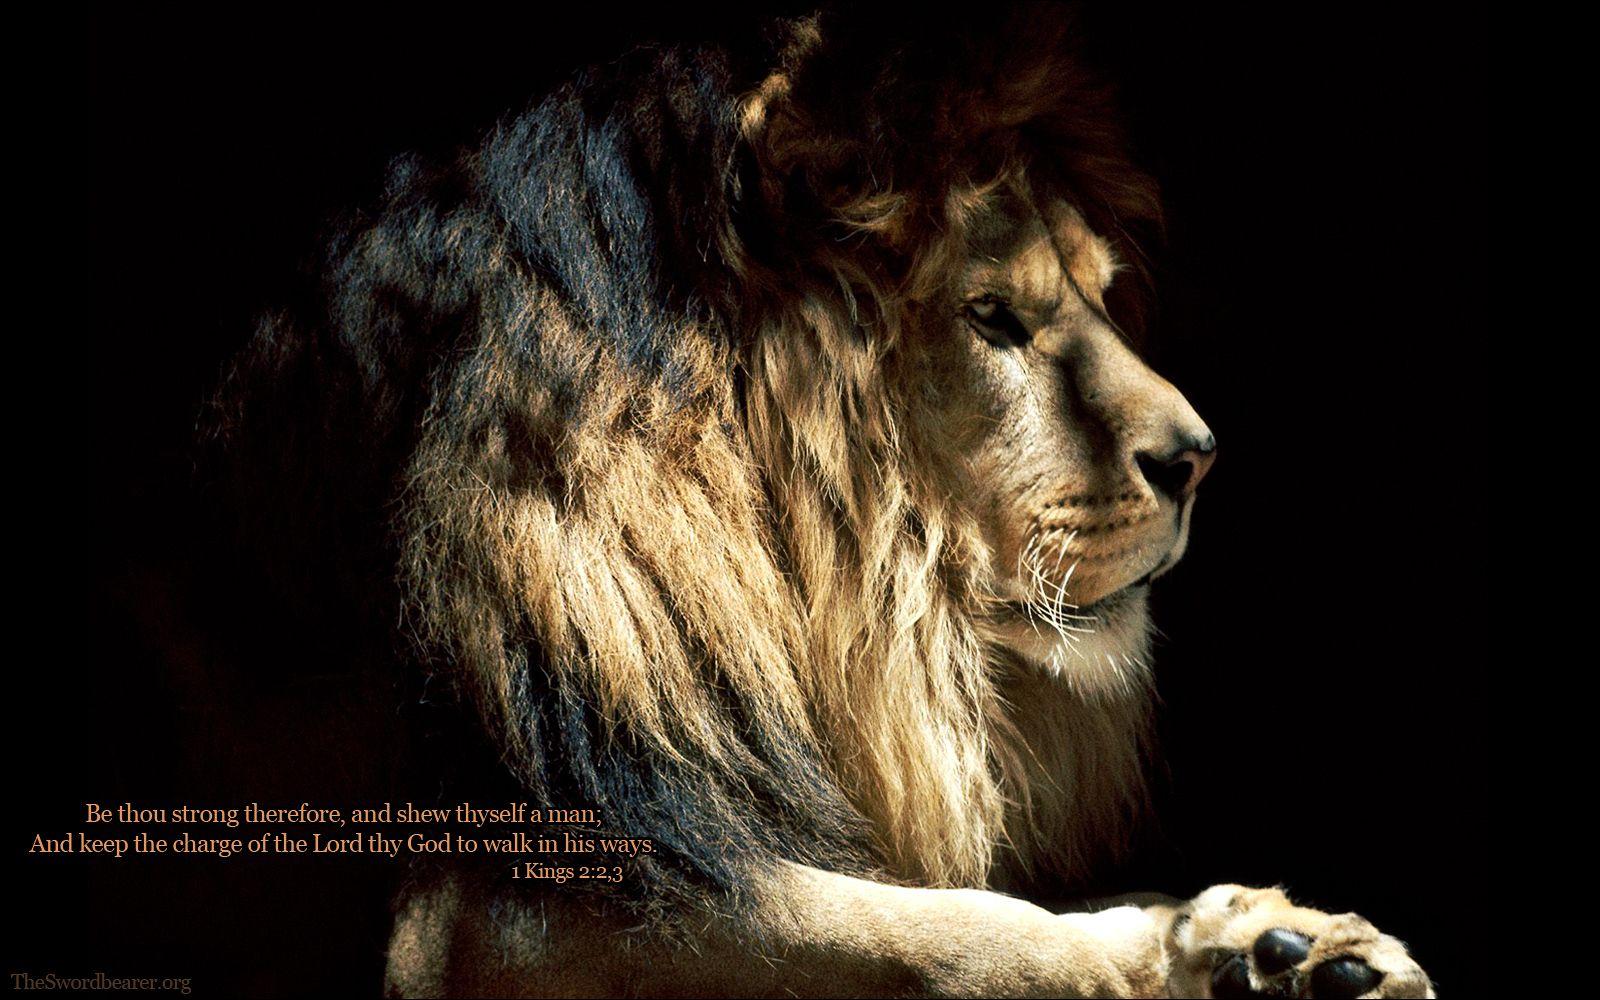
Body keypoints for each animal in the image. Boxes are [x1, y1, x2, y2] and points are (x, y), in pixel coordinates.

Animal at [207, 8, 1434, 998]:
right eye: (991, 316)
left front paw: (1267, 948)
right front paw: (1165, 961)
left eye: (1097, 291)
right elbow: (951, 930)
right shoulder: (469, 910)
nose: (1197, 458)